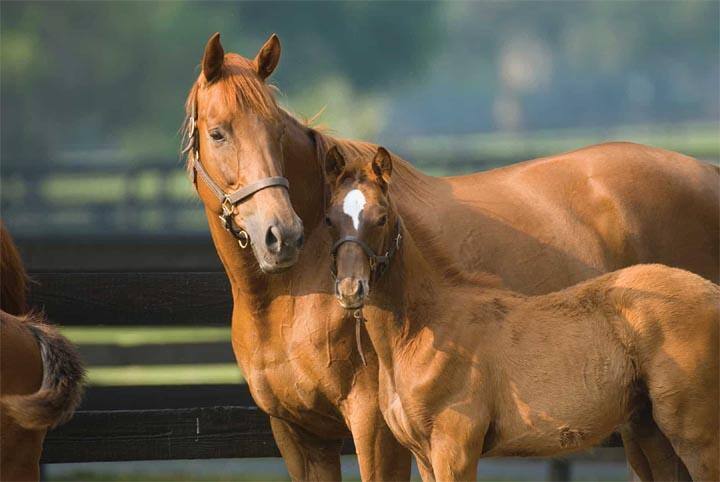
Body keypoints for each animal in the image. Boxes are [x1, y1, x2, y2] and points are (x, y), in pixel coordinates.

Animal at [325, 145, 719, 482]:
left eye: (381, 217)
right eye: (329, 219)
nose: (350, 289)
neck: (424, 328)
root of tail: (711, 291)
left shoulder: (456, 446)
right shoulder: (423, 454)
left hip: (696, 435)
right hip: (650, 428)